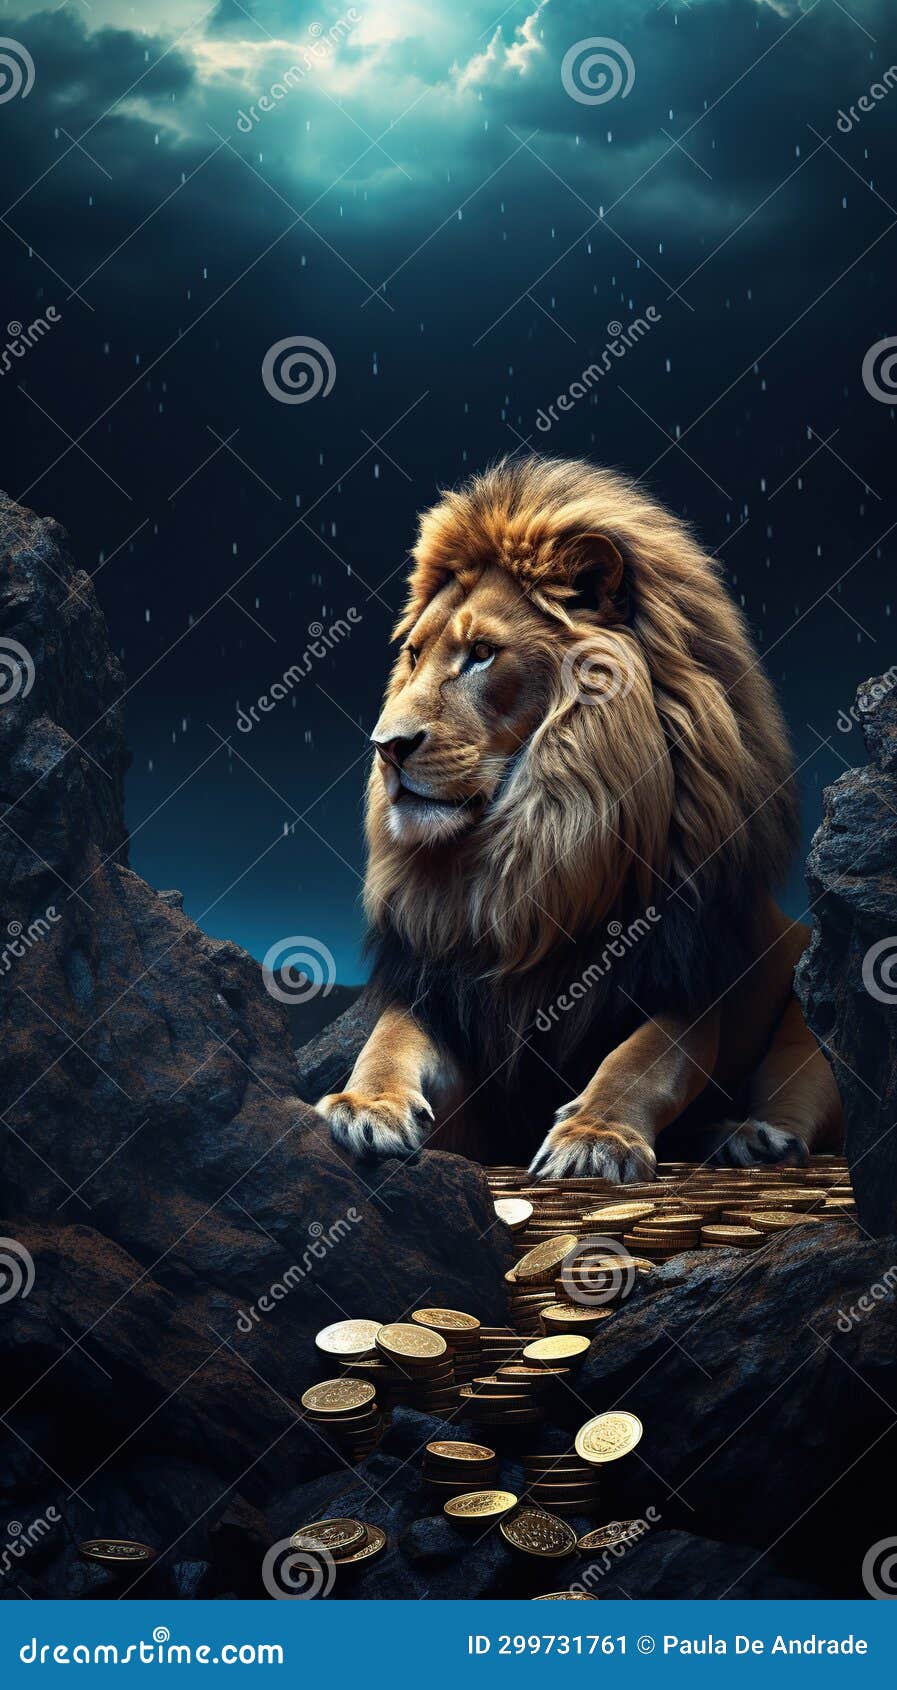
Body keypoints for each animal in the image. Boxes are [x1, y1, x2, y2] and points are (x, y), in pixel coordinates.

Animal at [317, 455, 842, 1181]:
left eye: (482, 653)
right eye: (414, 655)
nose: (385, 747)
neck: (531, 855)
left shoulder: (679, 974)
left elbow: (641, 1061)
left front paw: (595, 1138)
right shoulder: (447, 989)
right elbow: (389, 1041)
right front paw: (364, 1107)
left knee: (799, 1088)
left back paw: (749, 1138)